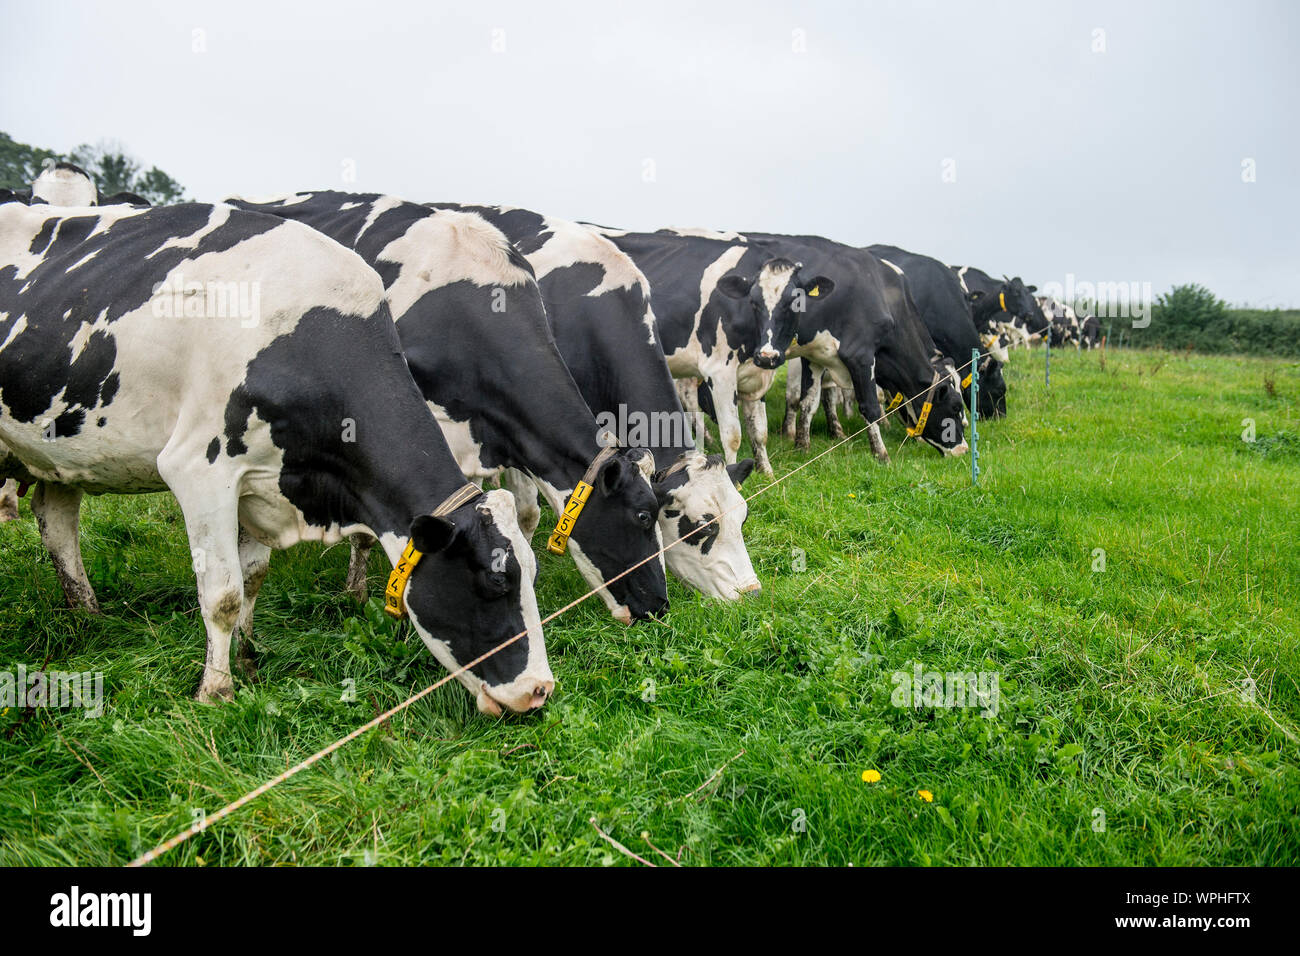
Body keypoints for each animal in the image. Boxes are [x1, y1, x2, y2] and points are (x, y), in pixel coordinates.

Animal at [0, 197, 553, 712]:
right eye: (496, 581)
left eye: (533, 575)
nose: (540, 690)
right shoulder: (200, 471)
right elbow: (223, 594)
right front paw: (215, 692)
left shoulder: (262, 483)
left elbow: (252, 579)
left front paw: (247, 659)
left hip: (57, 457)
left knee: (56, 521)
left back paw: (87, 613)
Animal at [590, 225, 832, 478]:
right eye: (754, 302)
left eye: (795, 302)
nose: (767, 356)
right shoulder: (719, 372)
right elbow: (733, 435)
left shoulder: (758, 376)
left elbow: (759, 430)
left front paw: (767, 472)